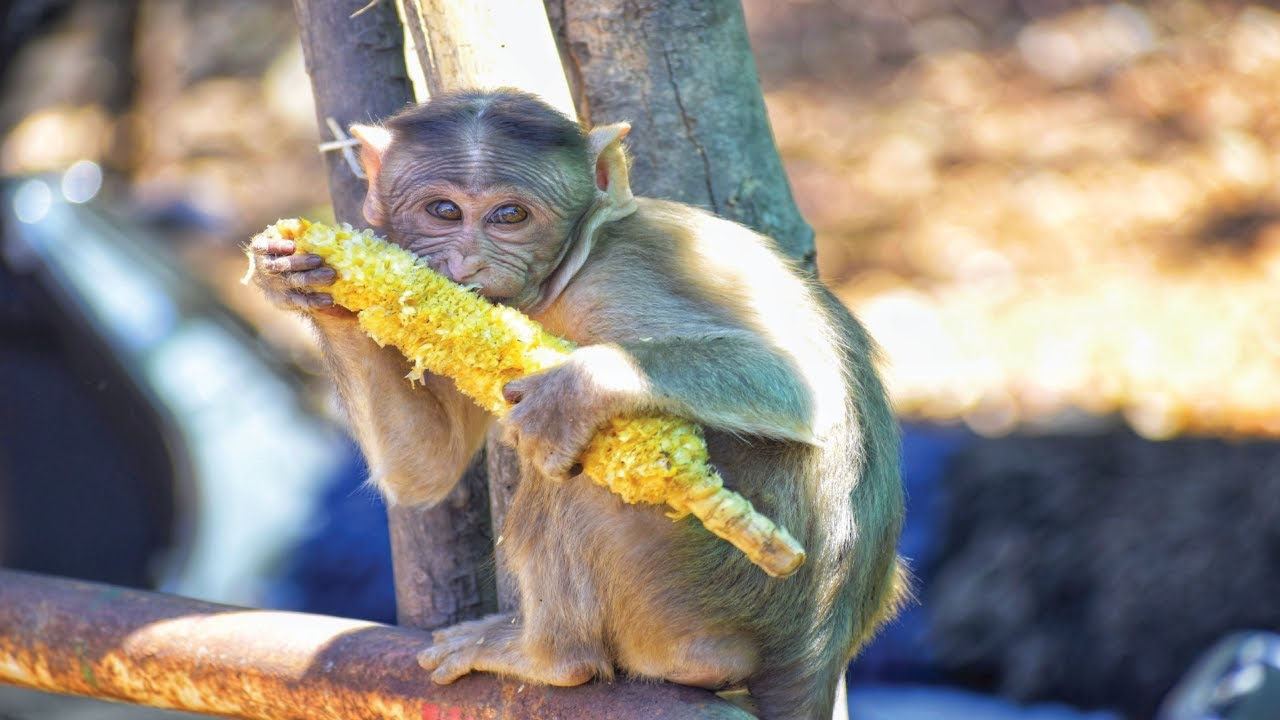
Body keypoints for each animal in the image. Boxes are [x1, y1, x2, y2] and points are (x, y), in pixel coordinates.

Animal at [247, 90, 905, 720]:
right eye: (444, 211)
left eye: (510, 216)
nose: (466, 263)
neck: (572, 265)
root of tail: (815, 651)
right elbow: (425, 472)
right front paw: (307, 280)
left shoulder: (629, 276)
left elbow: (803, 385)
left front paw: (576, 389)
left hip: (696, 594)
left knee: (577, 476)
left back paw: (554, 658)